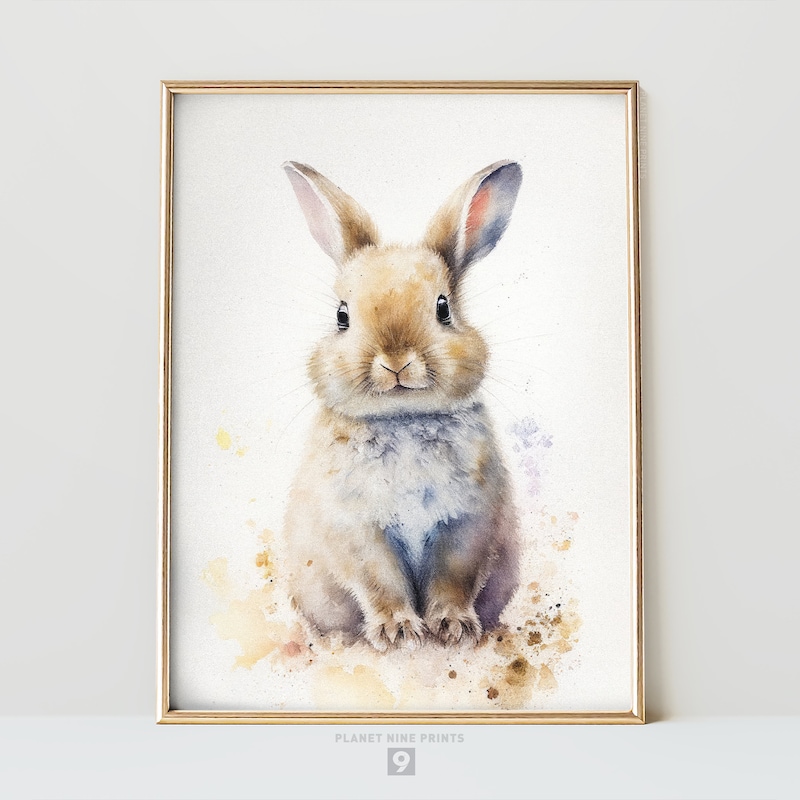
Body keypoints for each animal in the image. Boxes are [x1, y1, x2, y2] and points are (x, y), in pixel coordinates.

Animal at [281, 160, 522, 651]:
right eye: (342, 316)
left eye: (443, 308)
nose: (395, 361)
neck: (403, 418)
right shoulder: (358, 532)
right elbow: (380, 582)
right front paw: (398, 632)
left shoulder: (466, 527)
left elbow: (452, 580)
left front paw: (453, 628)